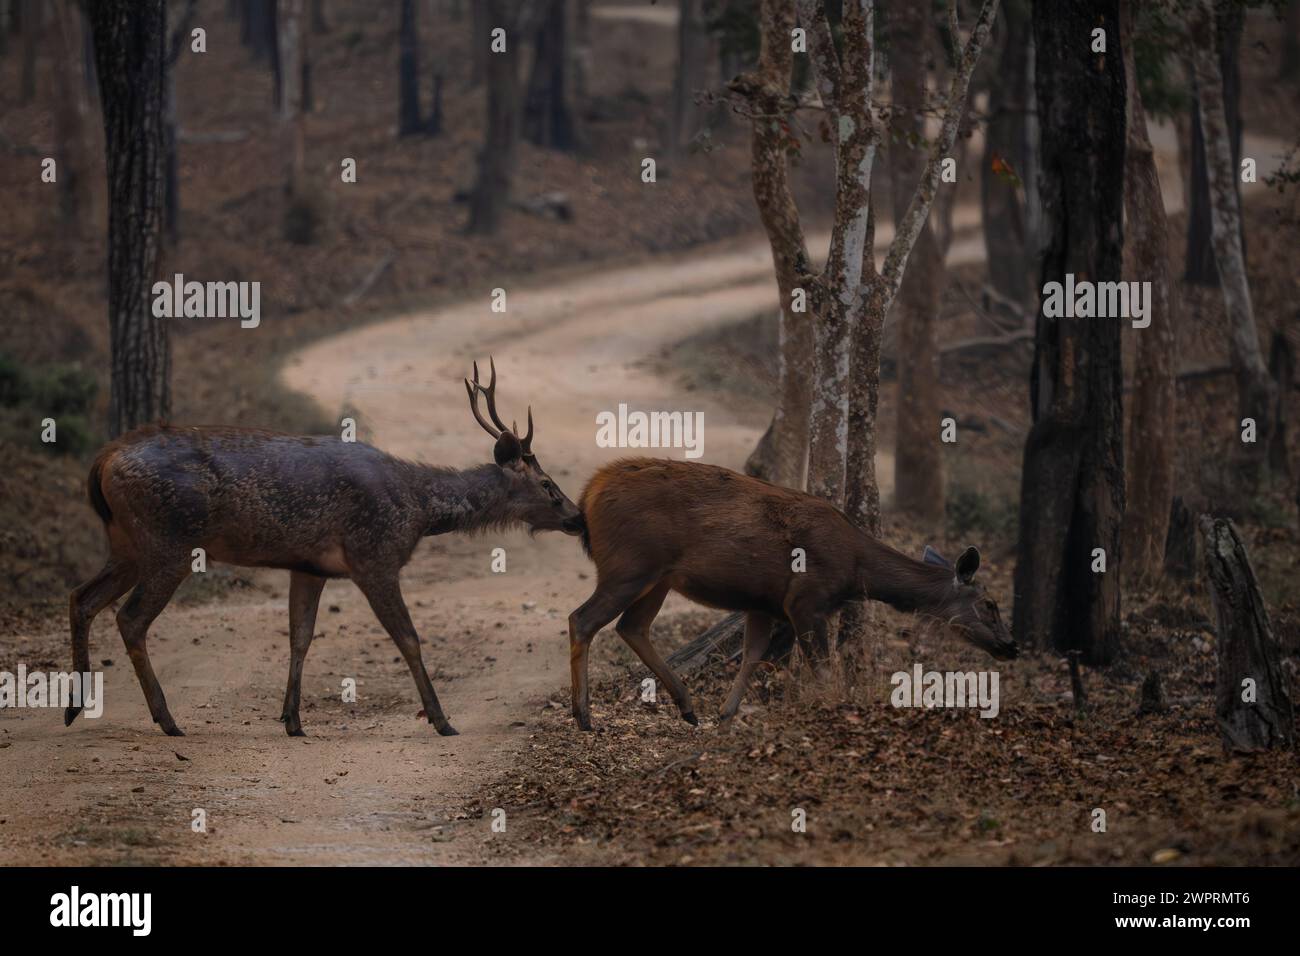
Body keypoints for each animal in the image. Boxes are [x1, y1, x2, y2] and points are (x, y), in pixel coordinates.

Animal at [64, 359, 583, 738]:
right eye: (547, 484)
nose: (577, 517)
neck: (418, 507)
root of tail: (102, 461)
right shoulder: (375, 555)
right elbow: (409, 638)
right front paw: (442, 720)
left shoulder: (309, 567)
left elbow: (301, 637)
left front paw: (292, 720)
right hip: (168, 540)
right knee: (130, 618)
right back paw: (166, 719)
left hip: (127, 545)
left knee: (81, 597)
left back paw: (75, 706)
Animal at [568, 458, 1018, 730]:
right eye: (989, 604)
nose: (1011, 645)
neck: (855, 568)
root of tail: (588, 496)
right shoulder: (805, 600)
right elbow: (822, 668)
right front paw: (833, 710)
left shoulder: (763, 603)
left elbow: (752, 655)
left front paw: (725, 715)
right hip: (630, 565)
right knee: (582, 619)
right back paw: (584, 716)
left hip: (657, 577)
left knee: (632, 627)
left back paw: (688, 707)